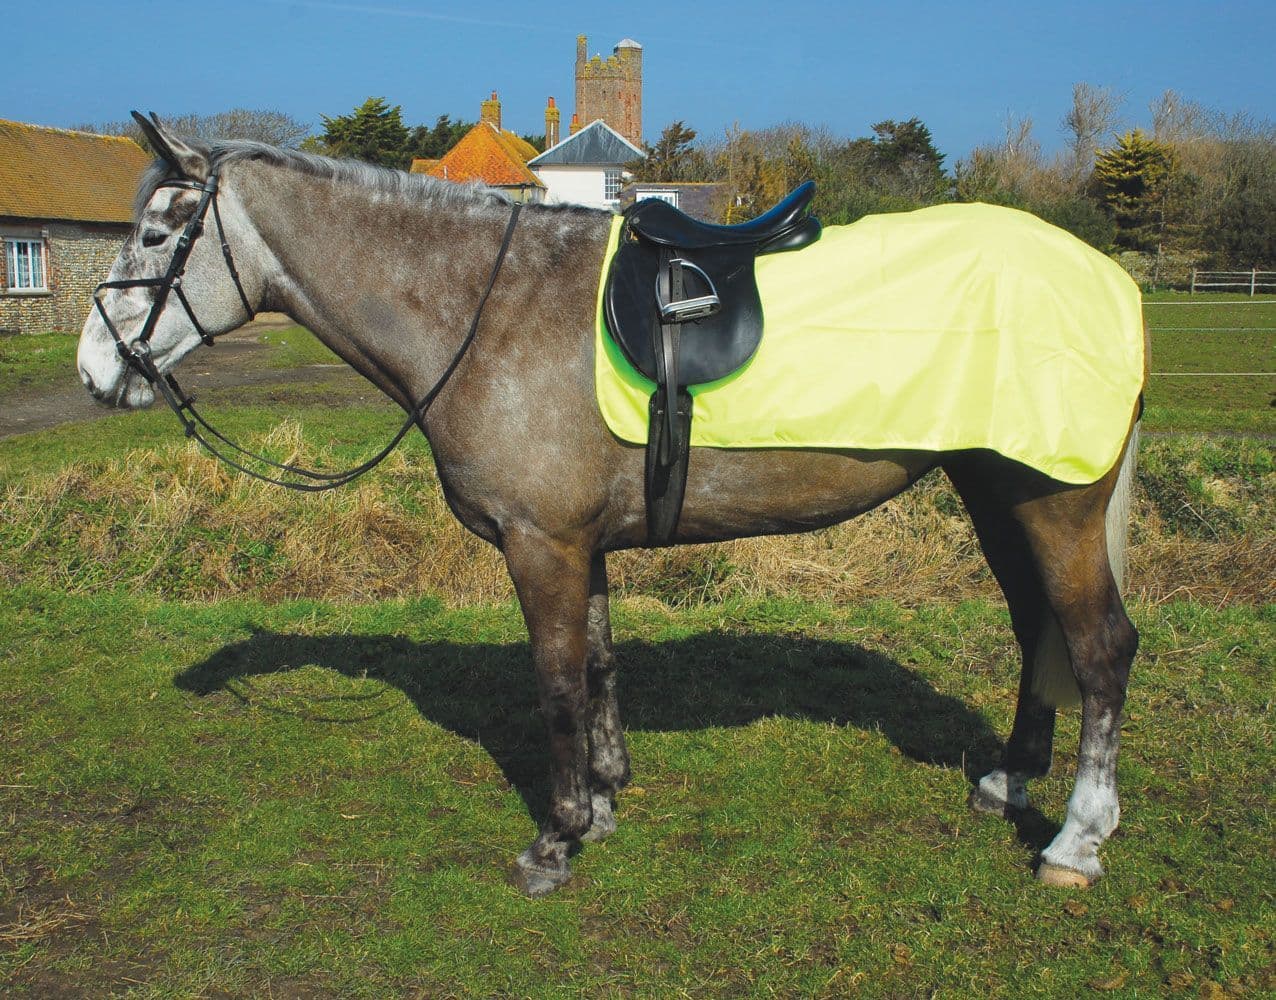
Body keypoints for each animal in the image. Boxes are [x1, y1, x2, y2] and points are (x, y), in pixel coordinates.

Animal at [77, 115, 1144, 896]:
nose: (95, 371)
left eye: (159, 235)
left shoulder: (539, 544)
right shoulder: (577, 544)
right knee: (1036, 628)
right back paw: (1009, 780)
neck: (488, 310)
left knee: (1098, 649)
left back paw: (1076, 842)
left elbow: (555, 681)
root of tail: (1108, 279)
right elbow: (595, 665)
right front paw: (604, 800)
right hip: (993, 489)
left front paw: (555, 839)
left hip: (1052, 503)